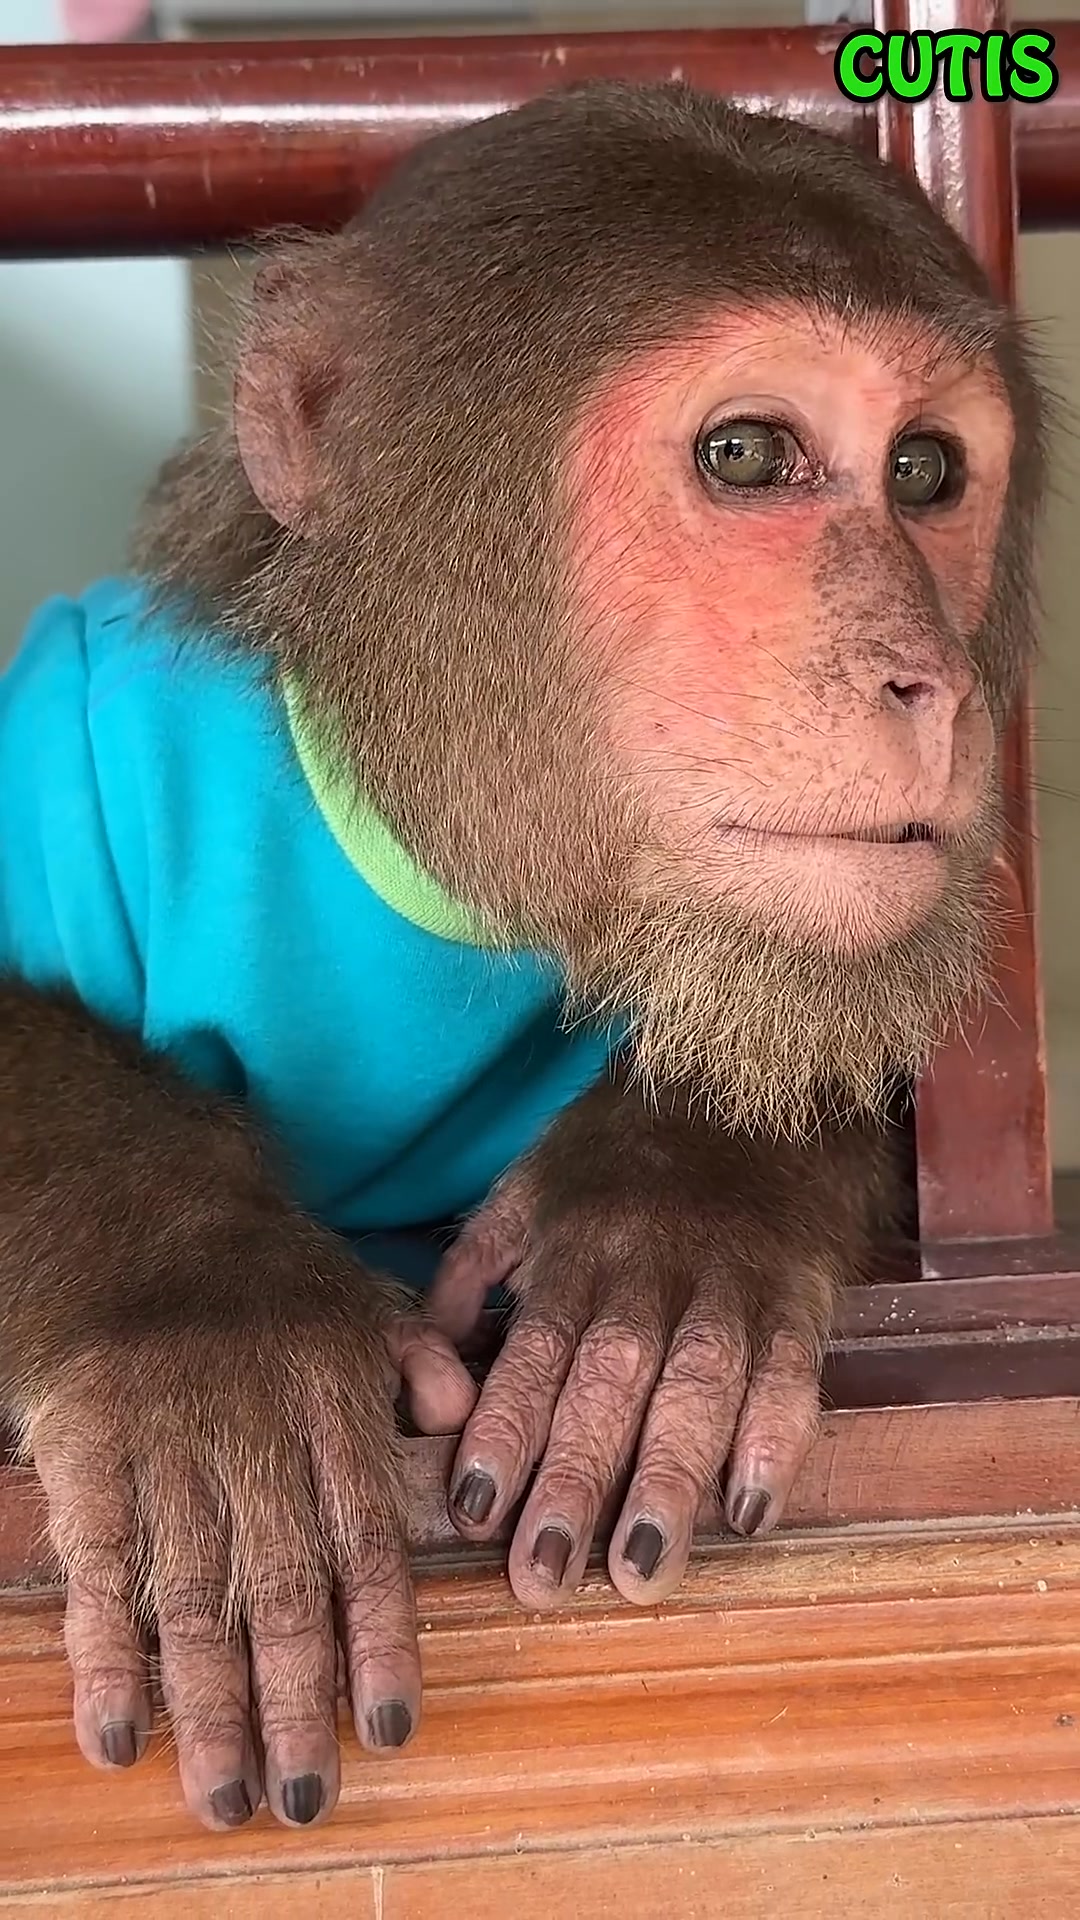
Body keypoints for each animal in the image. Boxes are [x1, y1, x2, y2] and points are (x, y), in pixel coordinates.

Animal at [0, 80, 1046, 1835]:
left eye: (925, 471)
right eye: (749, 455)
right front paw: (192, 1315)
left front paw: (678, 1215)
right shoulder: (92, 731)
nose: (932, 681)